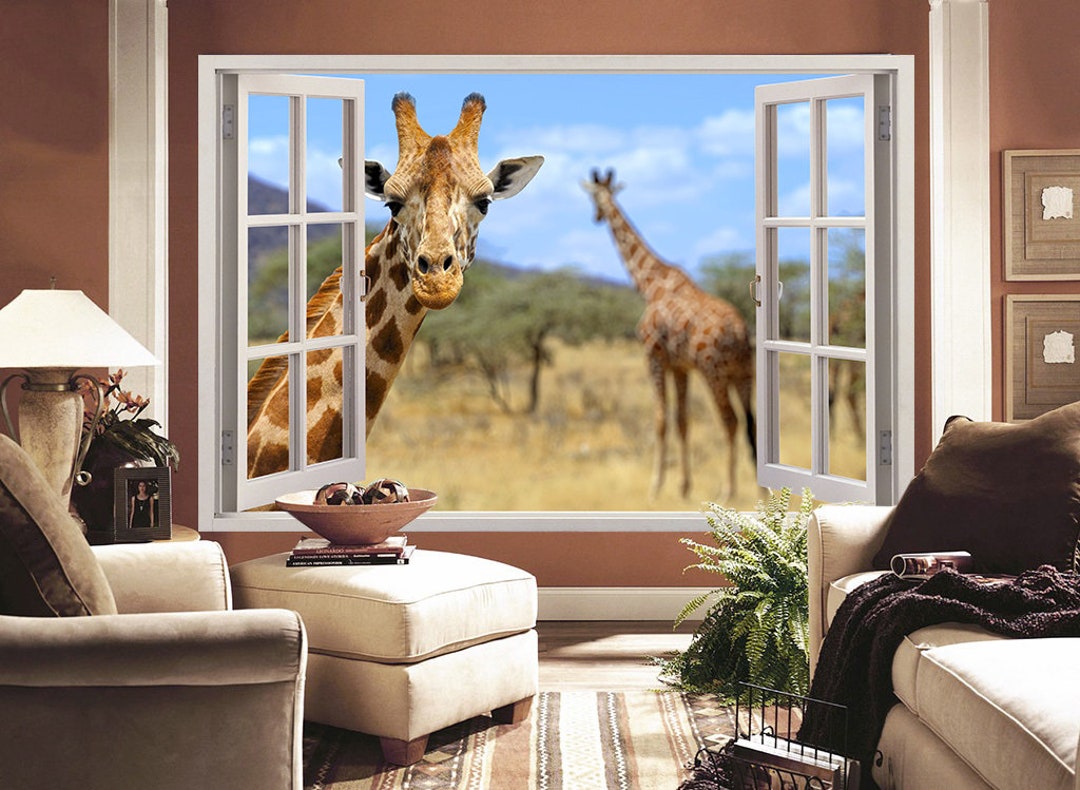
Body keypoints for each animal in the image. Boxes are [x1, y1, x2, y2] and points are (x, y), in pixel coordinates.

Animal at [582, 168, 756, 500]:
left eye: (594, 196)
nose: (595, 216)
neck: (651, 285)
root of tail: (741, 334)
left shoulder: (654, 356)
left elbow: (661, 420)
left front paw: (655, 485)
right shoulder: (680, 366)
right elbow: (682, 421)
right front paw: (684, 486)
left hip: (715, 373)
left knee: (731, 422)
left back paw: (728, 490)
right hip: (744, 374)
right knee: (753, 422)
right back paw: (763, 491)